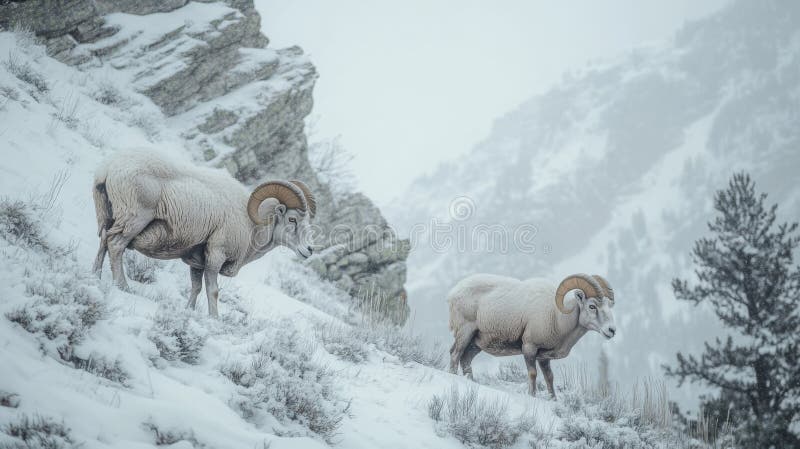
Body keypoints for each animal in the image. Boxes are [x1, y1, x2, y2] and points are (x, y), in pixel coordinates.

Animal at [91, 150, 317, 317]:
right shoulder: (216, 255)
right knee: (116, 245)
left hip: (109, 218)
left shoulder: (197, 262)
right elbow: (213, 291)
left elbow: (195, 288)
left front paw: (189, 312)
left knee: (104, 241)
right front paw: (214, 319)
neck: (251, 225)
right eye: (292, 219)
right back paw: (123, 287)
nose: (309, 250)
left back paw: (95, 277)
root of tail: (108, 169)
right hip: (134, 220)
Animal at [447, 273, 616, 397]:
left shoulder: (544, 357)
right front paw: (532, 396)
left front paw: (553, 399)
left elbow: (549, 378)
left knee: (466, 360)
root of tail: (454, 292)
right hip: (465, 333)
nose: (612, 330)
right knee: (455, 354)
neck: (557, 317)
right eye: (592, 306)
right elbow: (533, 374)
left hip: (475, 344)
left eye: (609, 305)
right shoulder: (529, 348)